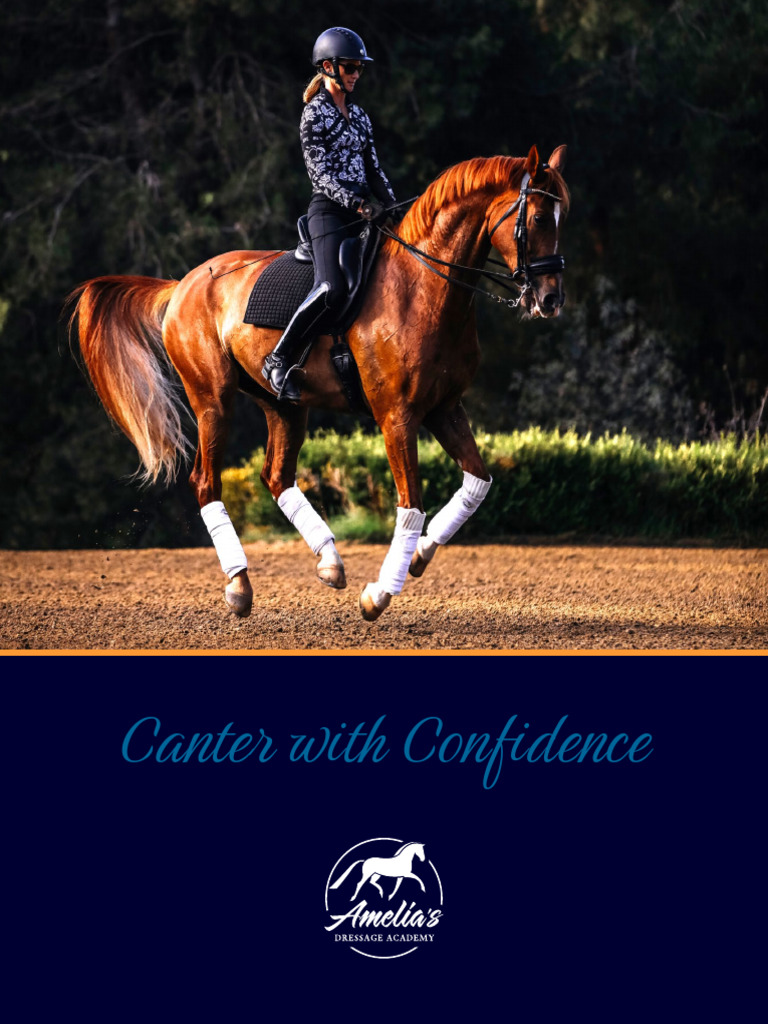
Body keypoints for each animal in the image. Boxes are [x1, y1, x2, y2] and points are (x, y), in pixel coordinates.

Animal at [66, 144, 568, 622]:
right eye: (539, 217)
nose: (550, 300)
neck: (422, 287)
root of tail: (181, 285)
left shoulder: (445, 409)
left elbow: (478, 484)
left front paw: (420, 555)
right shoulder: (397, 417)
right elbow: (411, 505)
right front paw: (378, 595)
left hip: (285, 405)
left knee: (276, 476)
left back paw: (329, 561)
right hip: (212, 400)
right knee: (207, 482)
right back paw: (239, 586)